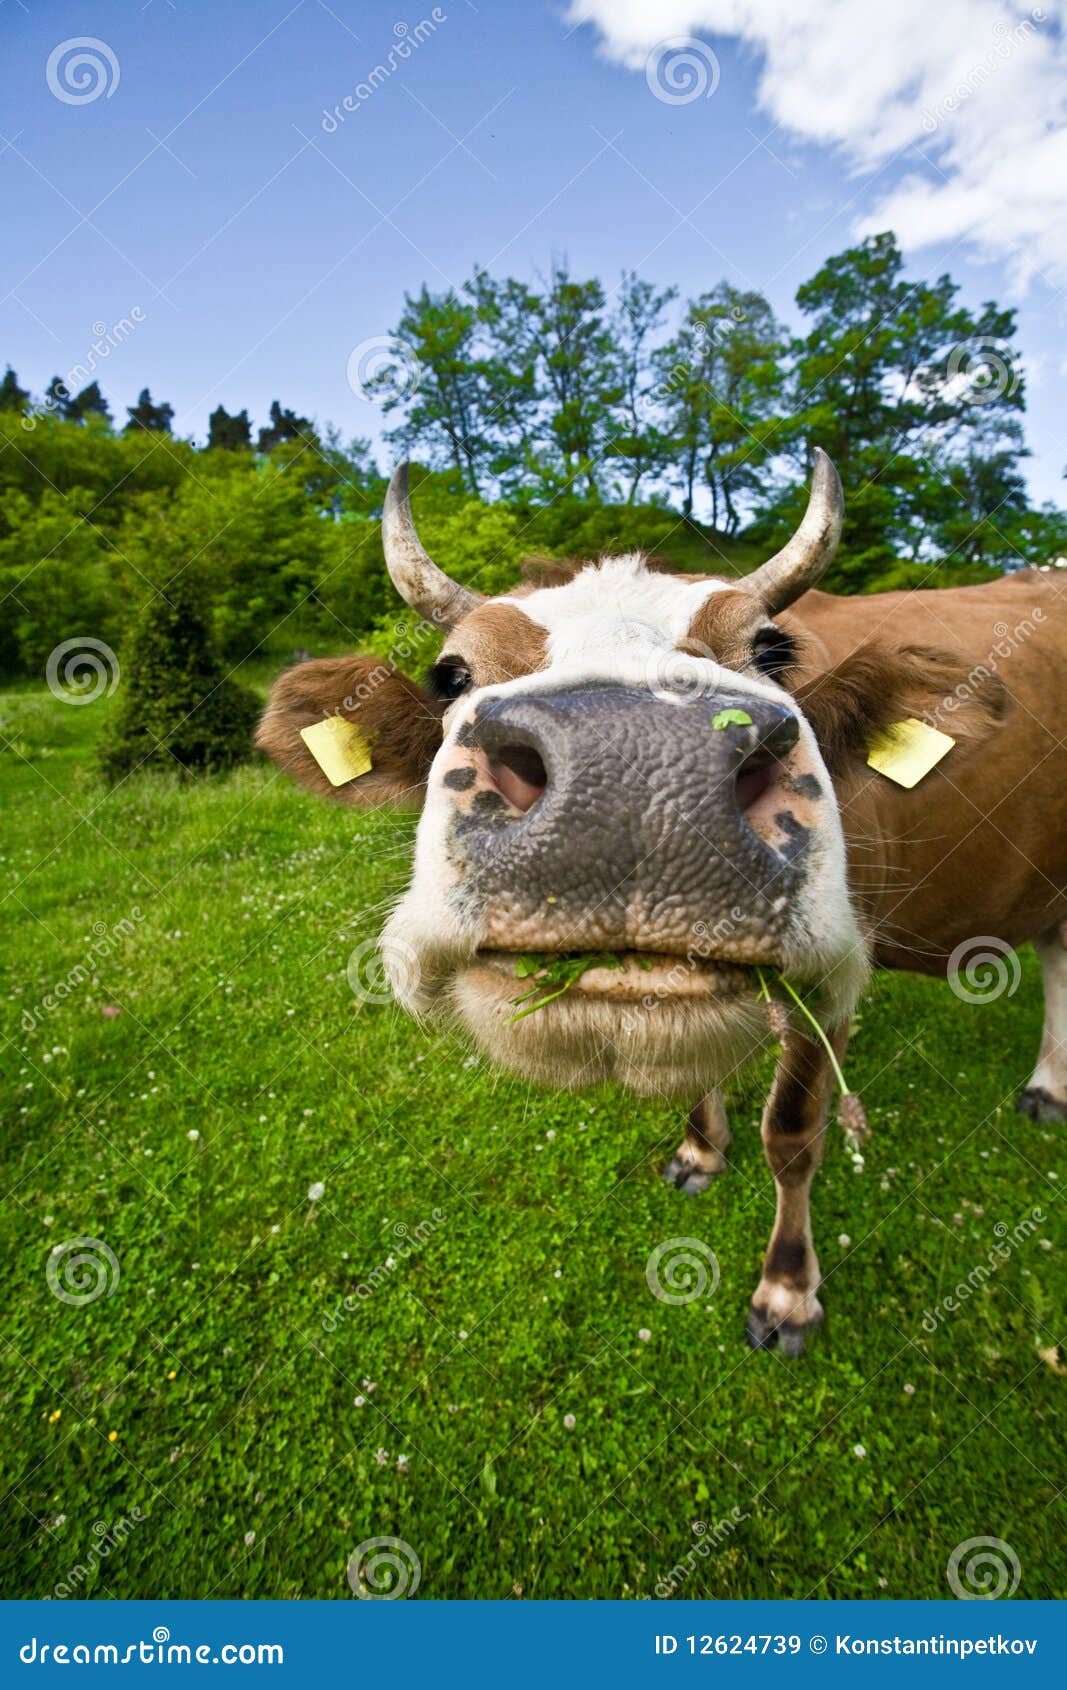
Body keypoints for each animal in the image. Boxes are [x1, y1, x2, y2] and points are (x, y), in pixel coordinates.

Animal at [257, 453, 1067, 1354]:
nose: (632, 762)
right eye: (451, 674)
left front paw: (787, 1293)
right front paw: (700, 1150)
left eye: (771, 650)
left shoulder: (826, 992)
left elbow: (792, 1134)